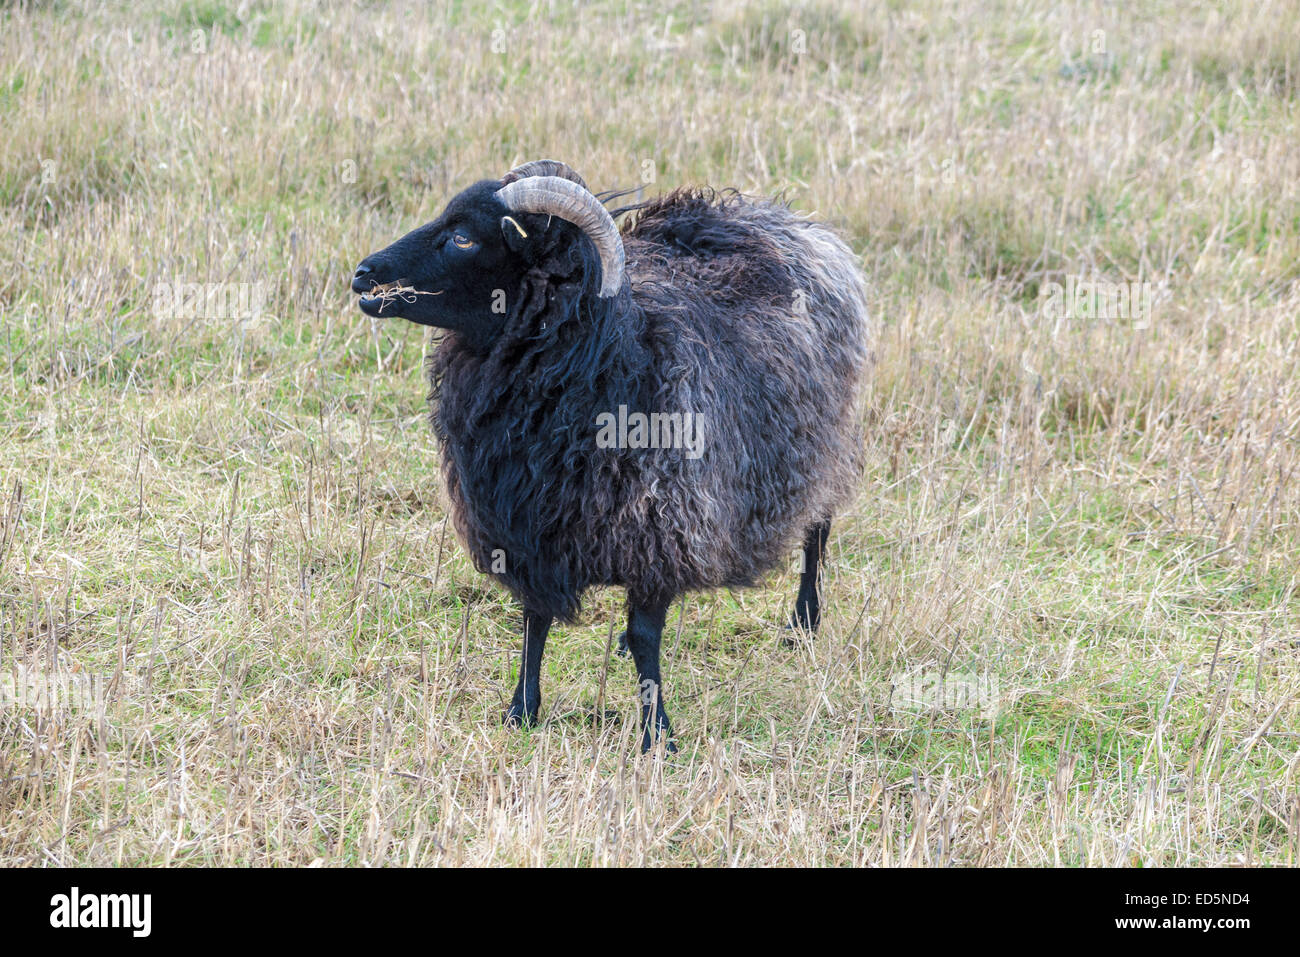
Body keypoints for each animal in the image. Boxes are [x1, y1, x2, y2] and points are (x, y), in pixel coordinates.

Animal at [352, 159, 872, 752]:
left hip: (820, 438)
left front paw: (657, 735)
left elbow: (646, 634)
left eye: (463, 237)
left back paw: (803, 622)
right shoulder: (526, 527)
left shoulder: (660, 521)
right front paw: (521, 710)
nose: (363, 274)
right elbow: (534, 620)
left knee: (818, 526)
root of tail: (790, 220)